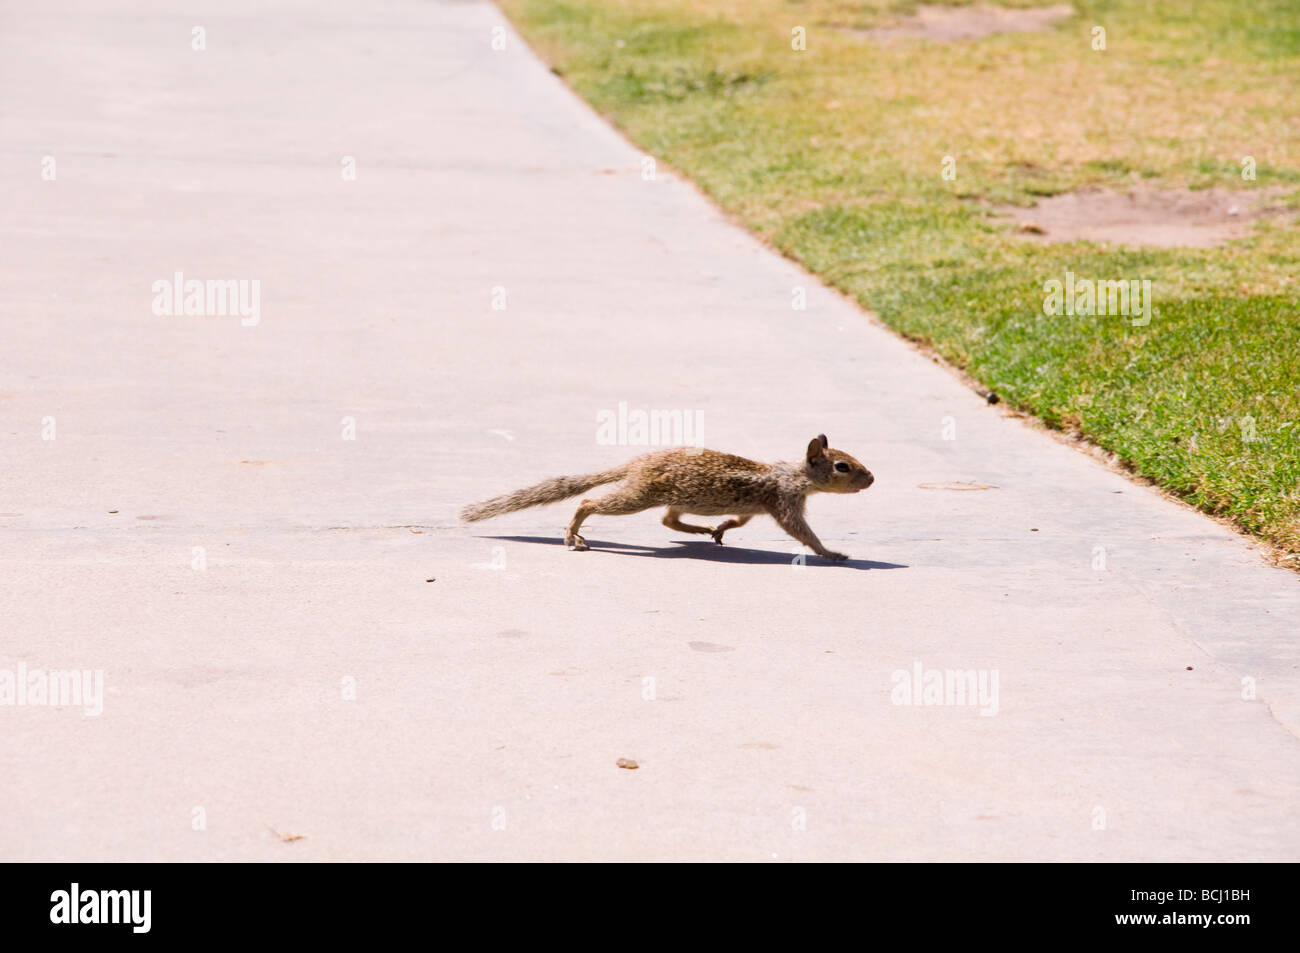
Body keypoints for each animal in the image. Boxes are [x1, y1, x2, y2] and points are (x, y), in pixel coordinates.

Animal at [460, 434, 874, 560]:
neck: (793, 475)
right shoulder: (785, 504)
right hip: (637, 497)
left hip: (674, 499)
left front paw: (722, 528)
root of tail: (637, 463)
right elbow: (803, 534)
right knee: (588, 503)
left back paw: (703, 532)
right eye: (843, 466)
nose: (871, 479)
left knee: (668, 520)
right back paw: (573, 534)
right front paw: (832, 553)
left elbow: (738, 520)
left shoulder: (759, 509)